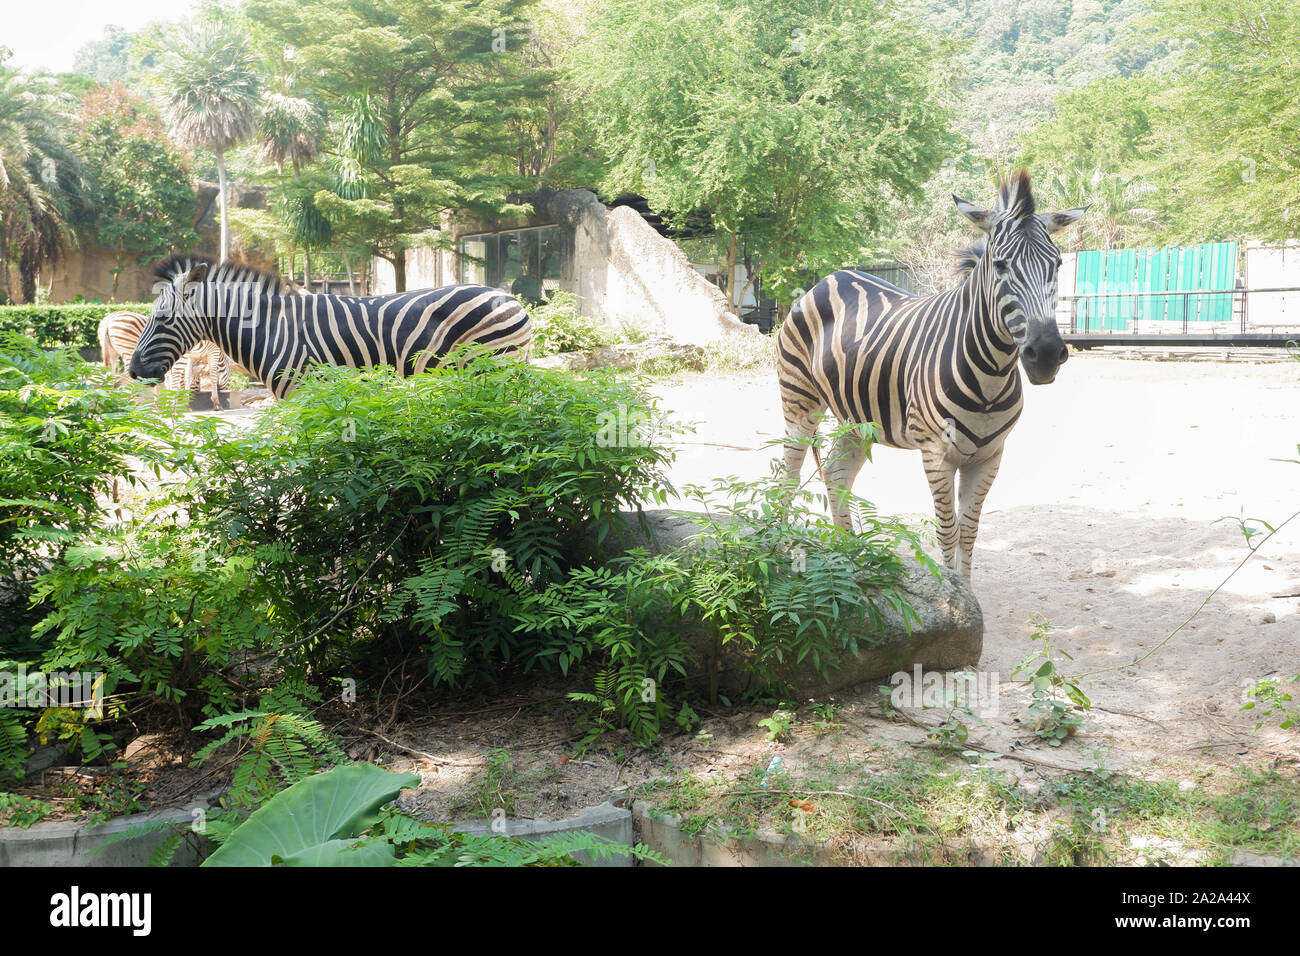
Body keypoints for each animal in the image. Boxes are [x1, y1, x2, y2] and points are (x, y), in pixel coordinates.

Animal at [98, 309, 233, 406]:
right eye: (230, 375)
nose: (197, 391)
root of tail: (109, 319)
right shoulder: (212, 351)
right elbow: (212, 374)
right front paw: (216, 402)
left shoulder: (188, 357)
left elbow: (184, 376)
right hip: (130, 352)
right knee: (127, 376)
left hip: (112, 354)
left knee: (110, 375)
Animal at [129, 255, 532, 398]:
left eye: (163, 318)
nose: (132, 370)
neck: (274, 330)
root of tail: (510, 298)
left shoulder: (306, 391)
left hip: (494, 367)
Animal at [777, 169, 1087, 579]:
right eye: (1001, 265)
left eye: (1058, 266)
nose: (1047, 355)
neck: (990, 377)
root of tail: (831, 278)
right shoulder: (937, 454)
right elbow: (947, 530)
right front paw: (950, 593)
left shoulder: (990, 456)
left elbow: (969, 532)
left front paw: (966, 592)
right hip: (799, 400)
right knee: (788, 474)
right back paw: (777, 548)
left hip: (856, 417)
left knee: (835, 473)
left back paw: (849, 556)